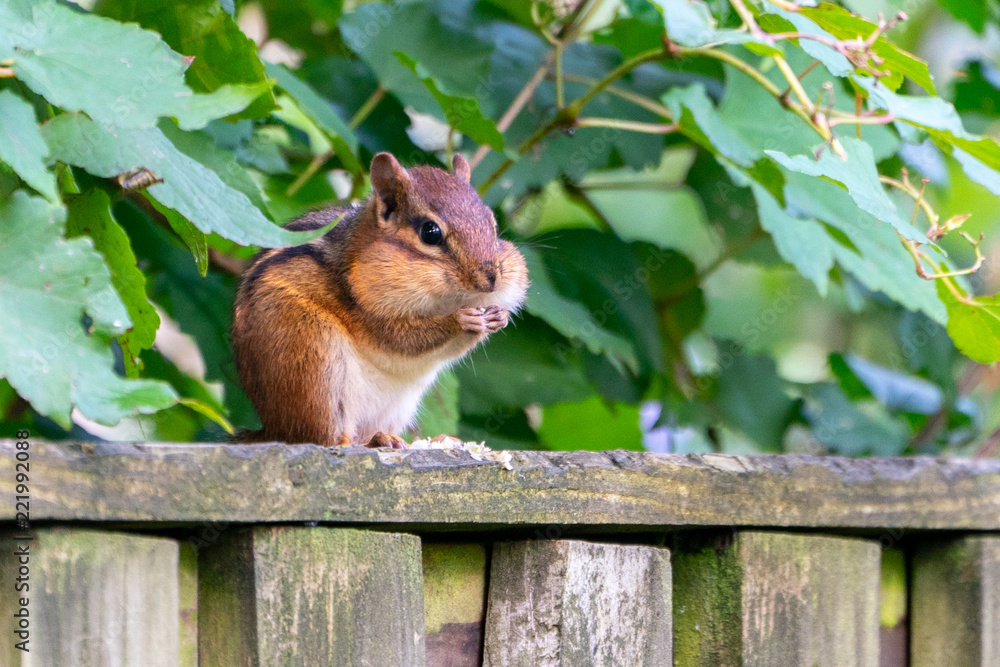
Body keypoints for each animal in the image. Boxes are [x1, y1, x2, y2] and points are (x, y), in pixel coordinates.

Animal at [232, 152, 528, 449]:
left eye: (493, 224)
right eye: (430, 232)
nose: (491, 279)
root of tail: (272, 428)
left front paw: (500, 316)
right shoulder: (364, 308)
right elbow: (401, 338)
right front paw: (461, 320)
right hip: (313, 363)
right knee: (323, 438)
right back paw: (369, 442)